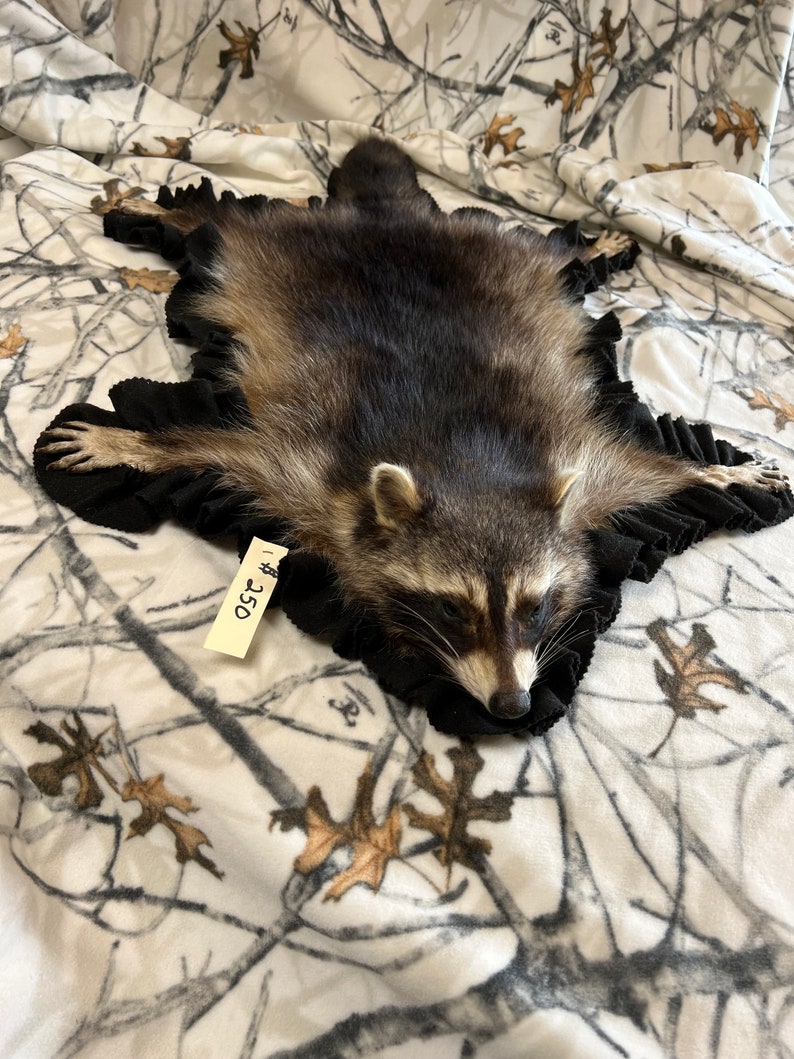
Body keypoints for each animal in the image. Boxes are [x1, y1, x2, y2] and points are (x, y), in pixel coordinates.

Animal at [40, 138, 789, 721]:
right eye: (453, 609)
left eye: (534, 606)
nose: (511, 707)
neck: (467, 470)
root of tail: (387, 213)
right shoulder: (310, 472)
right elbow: (225, 449)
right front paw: (133, 442)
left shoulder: (582, 468)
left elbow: (651, 470)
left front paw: (720, 469)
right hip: (274, 246)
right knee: (228, 223)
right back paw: (178, 212)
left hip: (506, 263)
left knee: (548, 253)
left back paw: (589, 243)